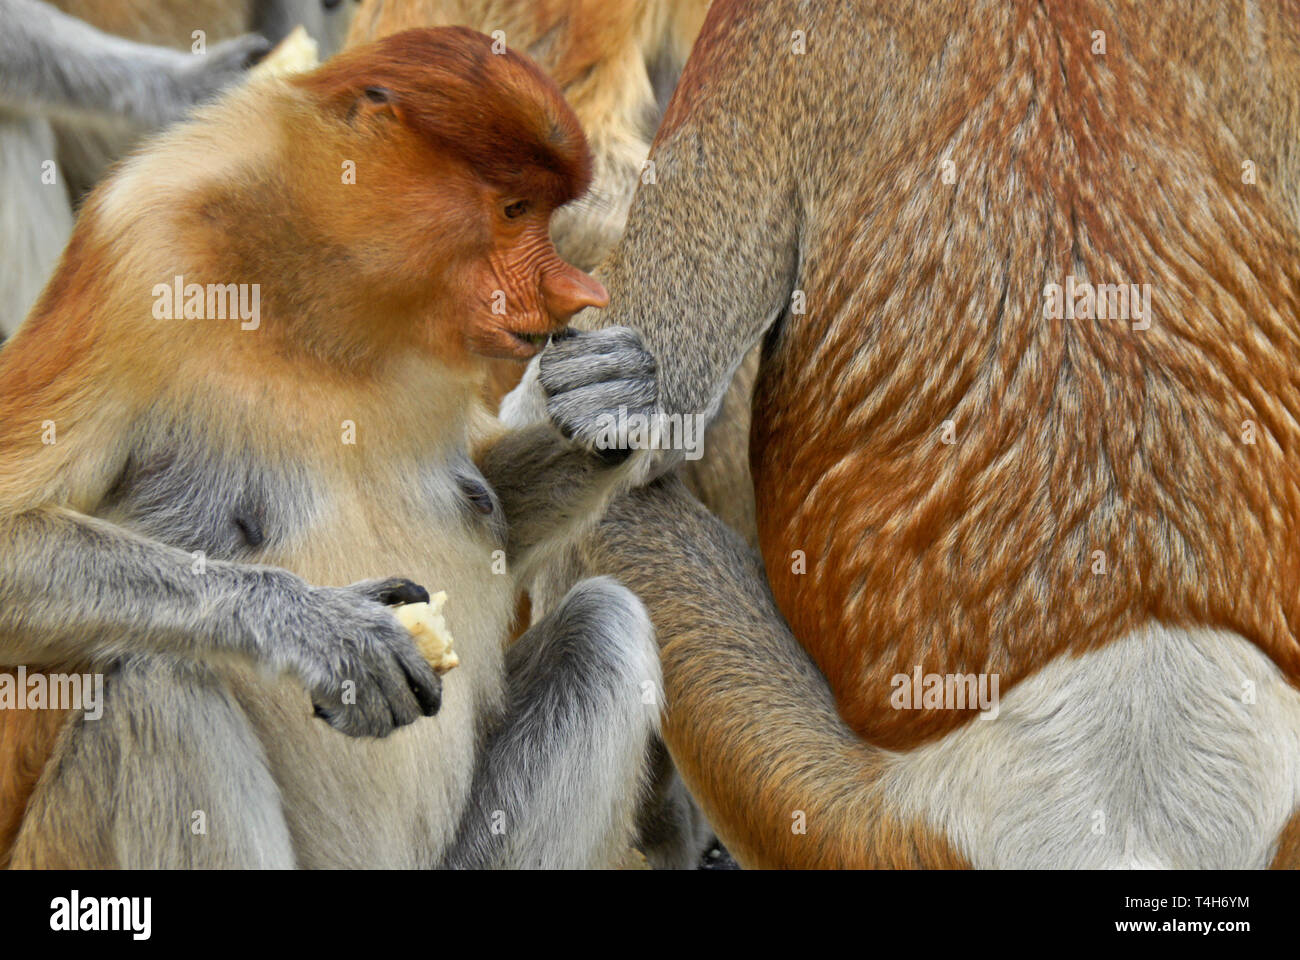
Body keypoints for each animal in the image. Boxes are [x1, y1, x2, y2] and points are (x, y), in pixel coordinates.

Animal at [0, 26, 662, 869]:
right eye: (514, 208)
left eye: (544, 213)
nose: (576, 295)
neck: (325, 293)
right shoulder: (138, 252)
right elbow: (13, 533)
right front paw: (329, 632)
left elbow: (496, 510)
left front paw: (612, 396)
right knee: (162, 677)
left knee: (603, 631)